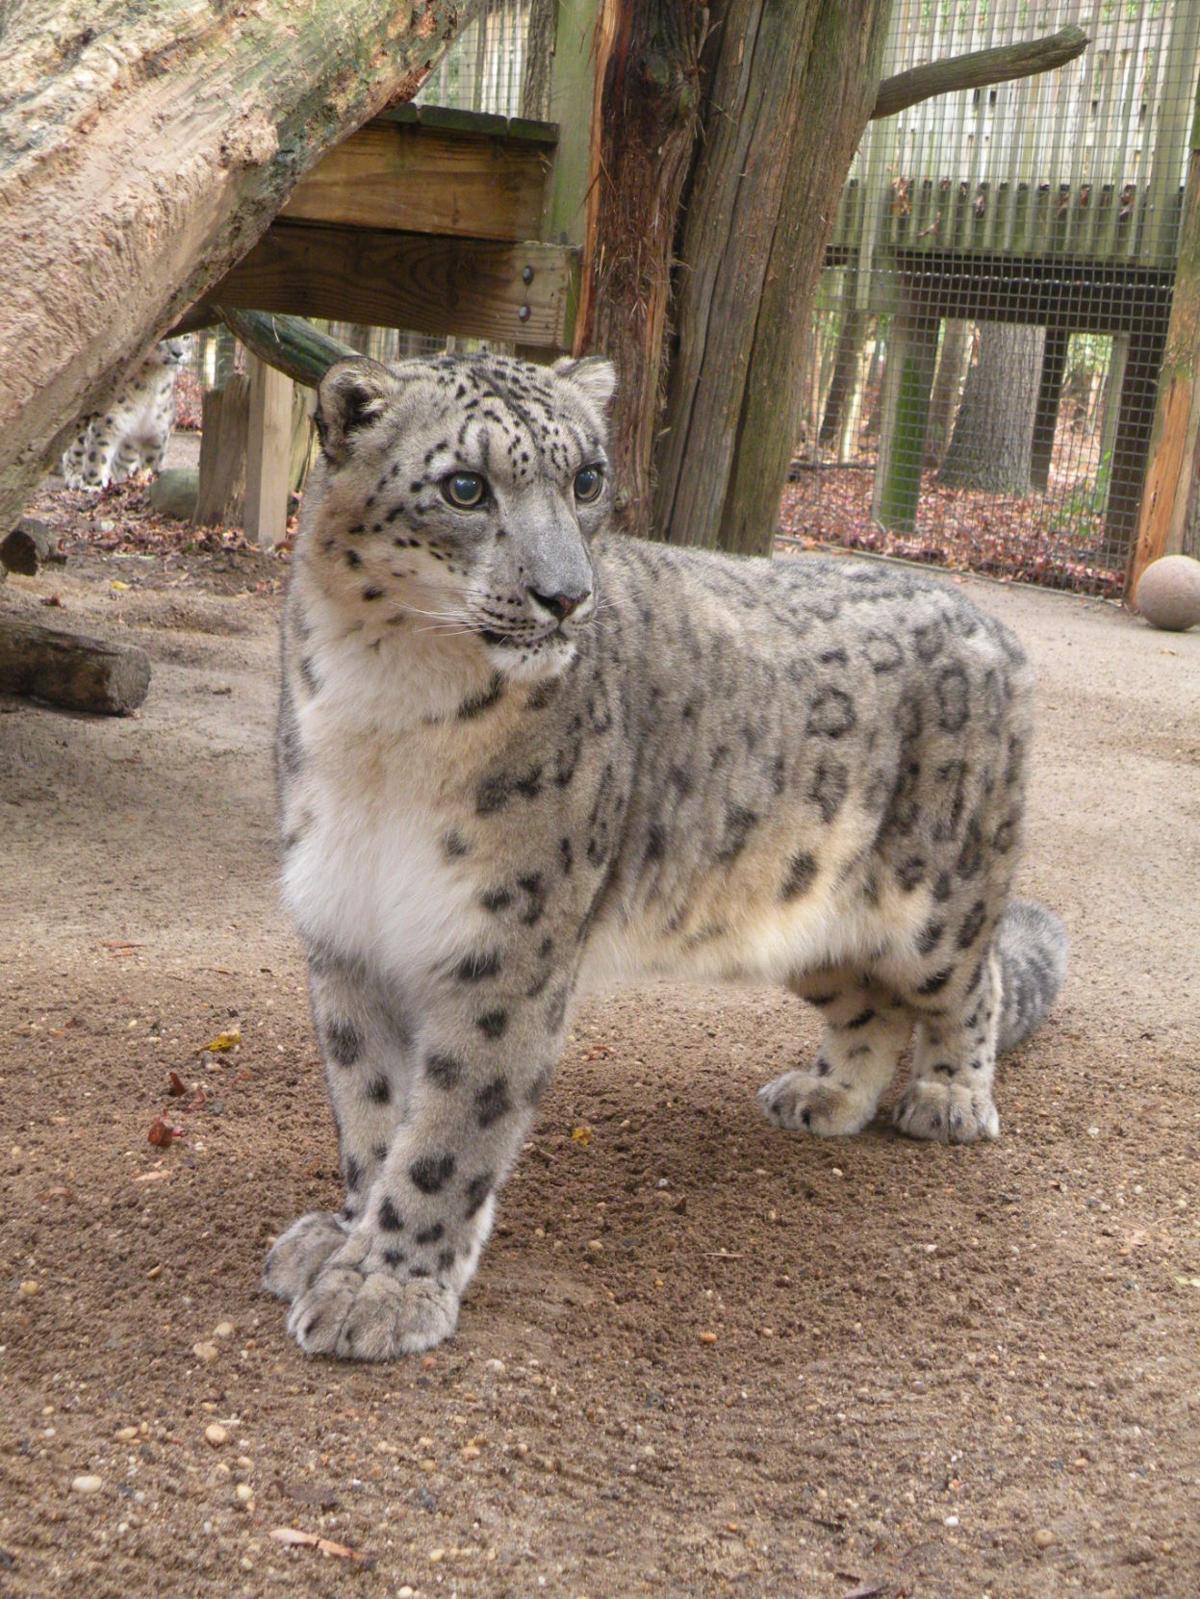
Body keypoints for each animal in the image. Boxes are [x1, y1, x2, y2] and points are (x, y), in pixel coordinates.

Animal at [60, 337, 188, 491]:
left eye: (186, 338)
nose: (178, 353)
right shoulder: (108, 422)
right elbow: (97, 454)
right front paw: (92, 485)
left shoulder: (158, 430)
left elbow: (151, 461)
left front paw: (146, 479)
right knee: (75, 447)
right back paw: (76, 476)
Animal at [263, 350, 1068, 1360]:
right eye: (464, 486)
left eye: (587, 479)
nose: (566, 595)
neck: (385, 713)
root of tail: (992, 619)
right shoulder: (345, 931)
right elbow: (369, 1108)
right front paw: (340, 1236)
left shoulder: (506, 945)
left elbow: (448, 1130)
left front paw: (382, 1285)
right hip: (799, 918)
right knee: (870, 1006)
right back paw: (827, 1094)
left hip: (936, 898)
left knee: (974, 979)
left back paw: (951, 1097)